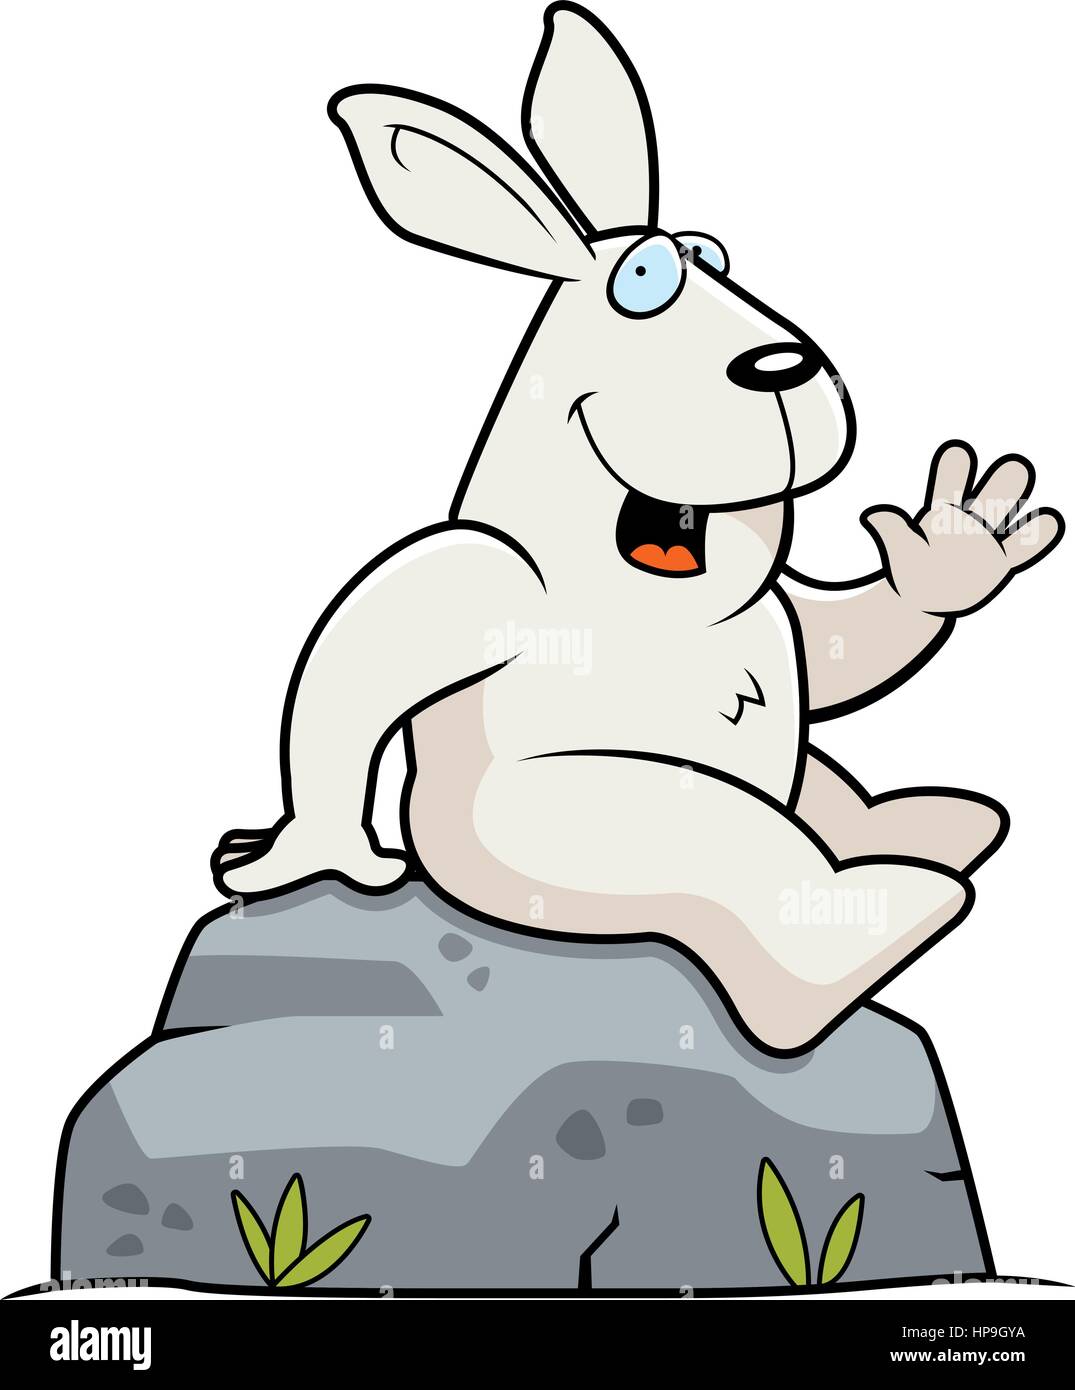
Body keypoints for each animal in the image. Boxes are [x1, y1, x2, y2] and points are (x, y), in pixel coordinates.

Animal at [214, 3, 1063, 1052]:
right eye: (644, 279)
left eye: (713, 258)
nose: (784, 368)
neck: (663, 592)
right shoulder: (481, 577)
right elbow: (357, 666)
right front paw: (315, 852)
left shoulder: (780, 607)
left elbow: (835, 650)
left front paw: (950, 552)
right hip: (579, 817)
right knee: (735, 852)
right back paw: (866, 932)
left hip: (779, 783)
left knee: (823, 801)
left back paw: (923, 827)